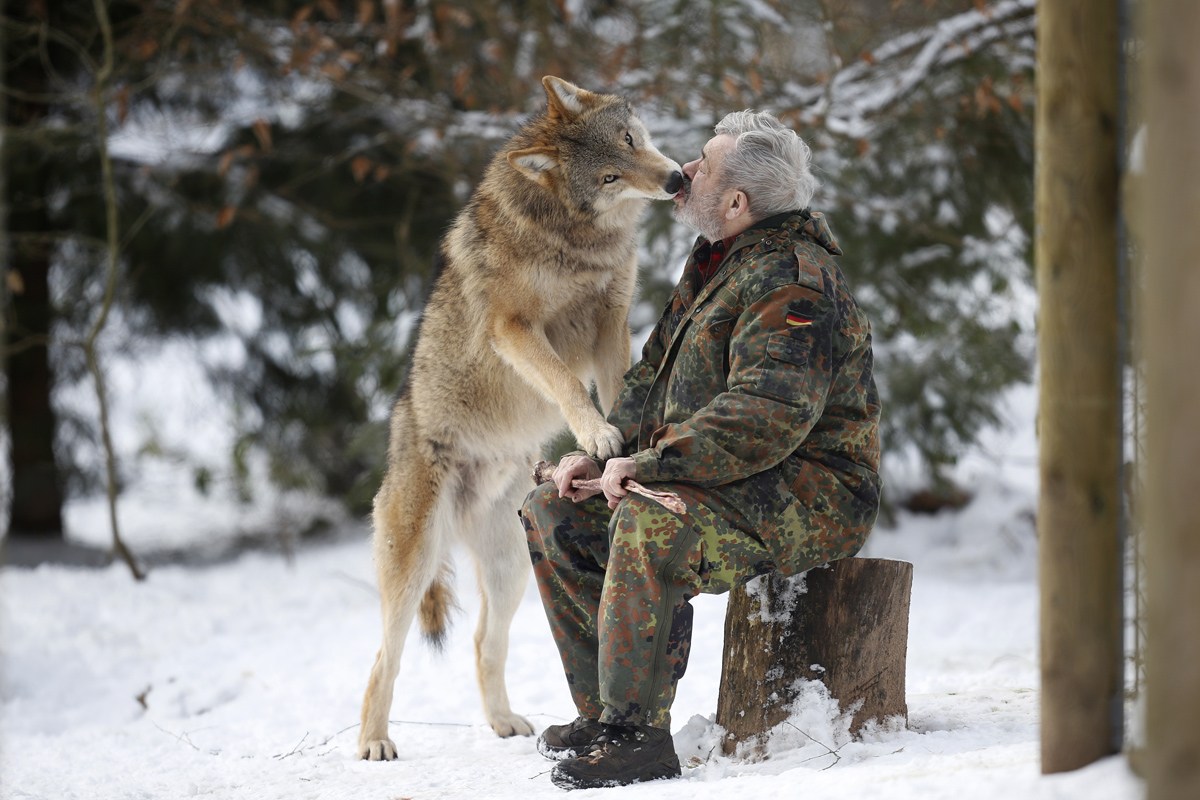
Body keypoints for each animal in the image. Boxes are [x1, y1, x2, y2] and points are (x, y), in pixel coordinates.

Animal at [357, 76, 683, 760]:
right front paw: (597, 433)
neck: (575, 238)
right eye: (610, 176)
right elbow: (566, 383)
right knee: (384, 656)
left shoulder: (611, 319)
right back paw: (374, 743)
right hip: (414, 564)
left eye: (631, 140)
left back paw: (504, 723)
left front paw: (619, 445)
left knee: (485, 641)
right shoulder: (515, 328)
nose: (673, 180)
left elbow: (617, 384)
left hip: (511, 569)